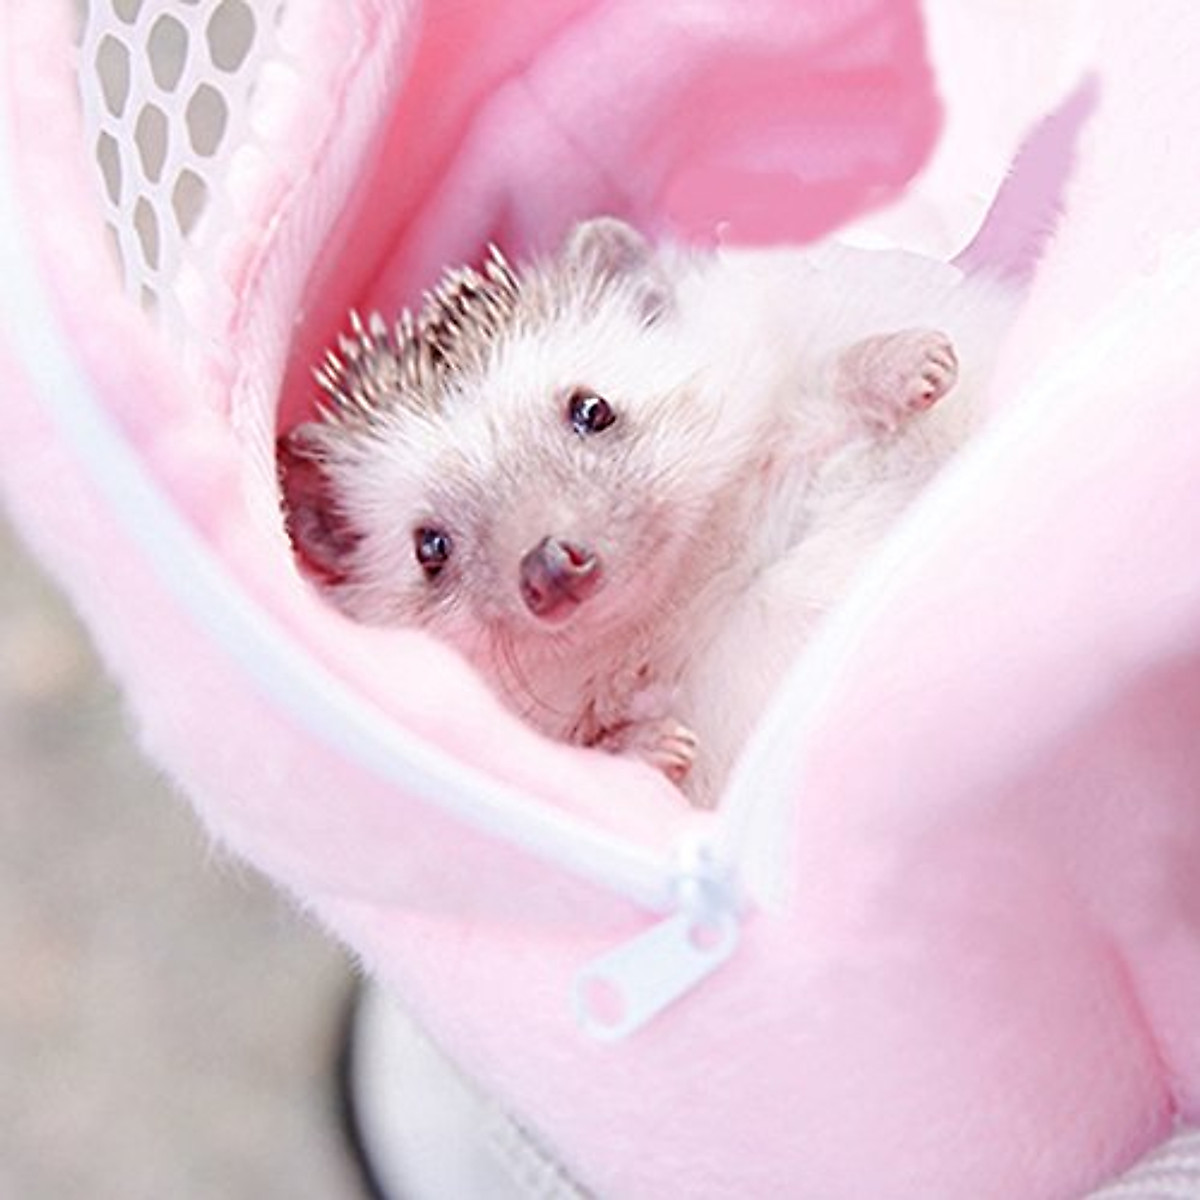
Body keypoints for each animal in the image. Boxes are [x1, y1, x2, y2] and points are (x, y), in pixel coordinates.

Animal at [278, 218, 1017, 807]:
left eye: (592, 408)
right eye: (430, 546)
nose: (553, 565)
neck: (672, 612)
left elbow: (819, 407)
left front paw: (914, 361)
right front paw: (653, 746)